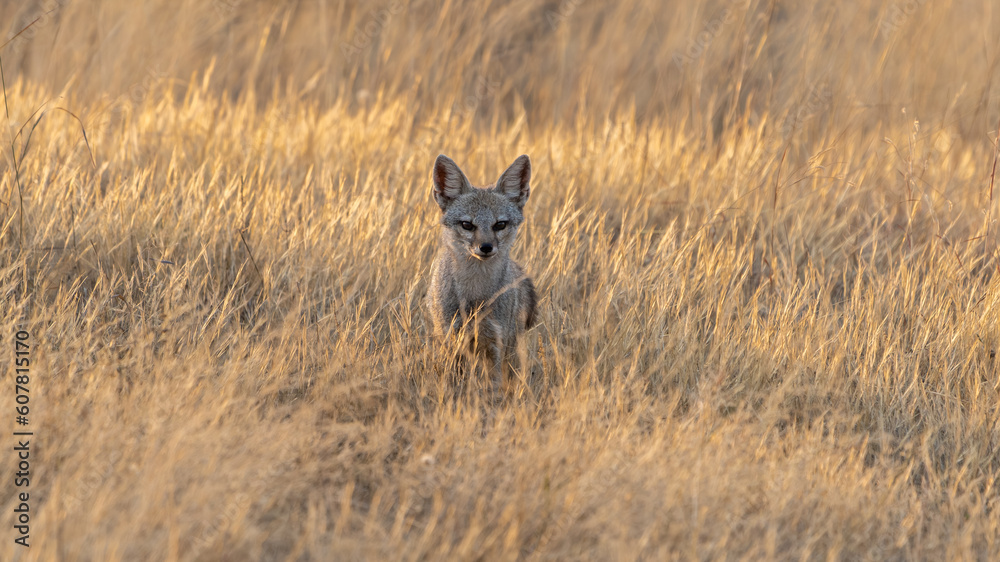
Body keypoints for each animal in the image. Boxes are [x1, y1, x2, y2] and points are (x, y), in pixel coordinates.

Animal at [426, 154, 537, 386]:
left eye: (500, 225)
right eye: (467, 225)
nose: (486, 247)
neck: (475, 292)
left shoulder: (494, 341)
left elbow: (493, 385)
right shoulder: (451, 336)